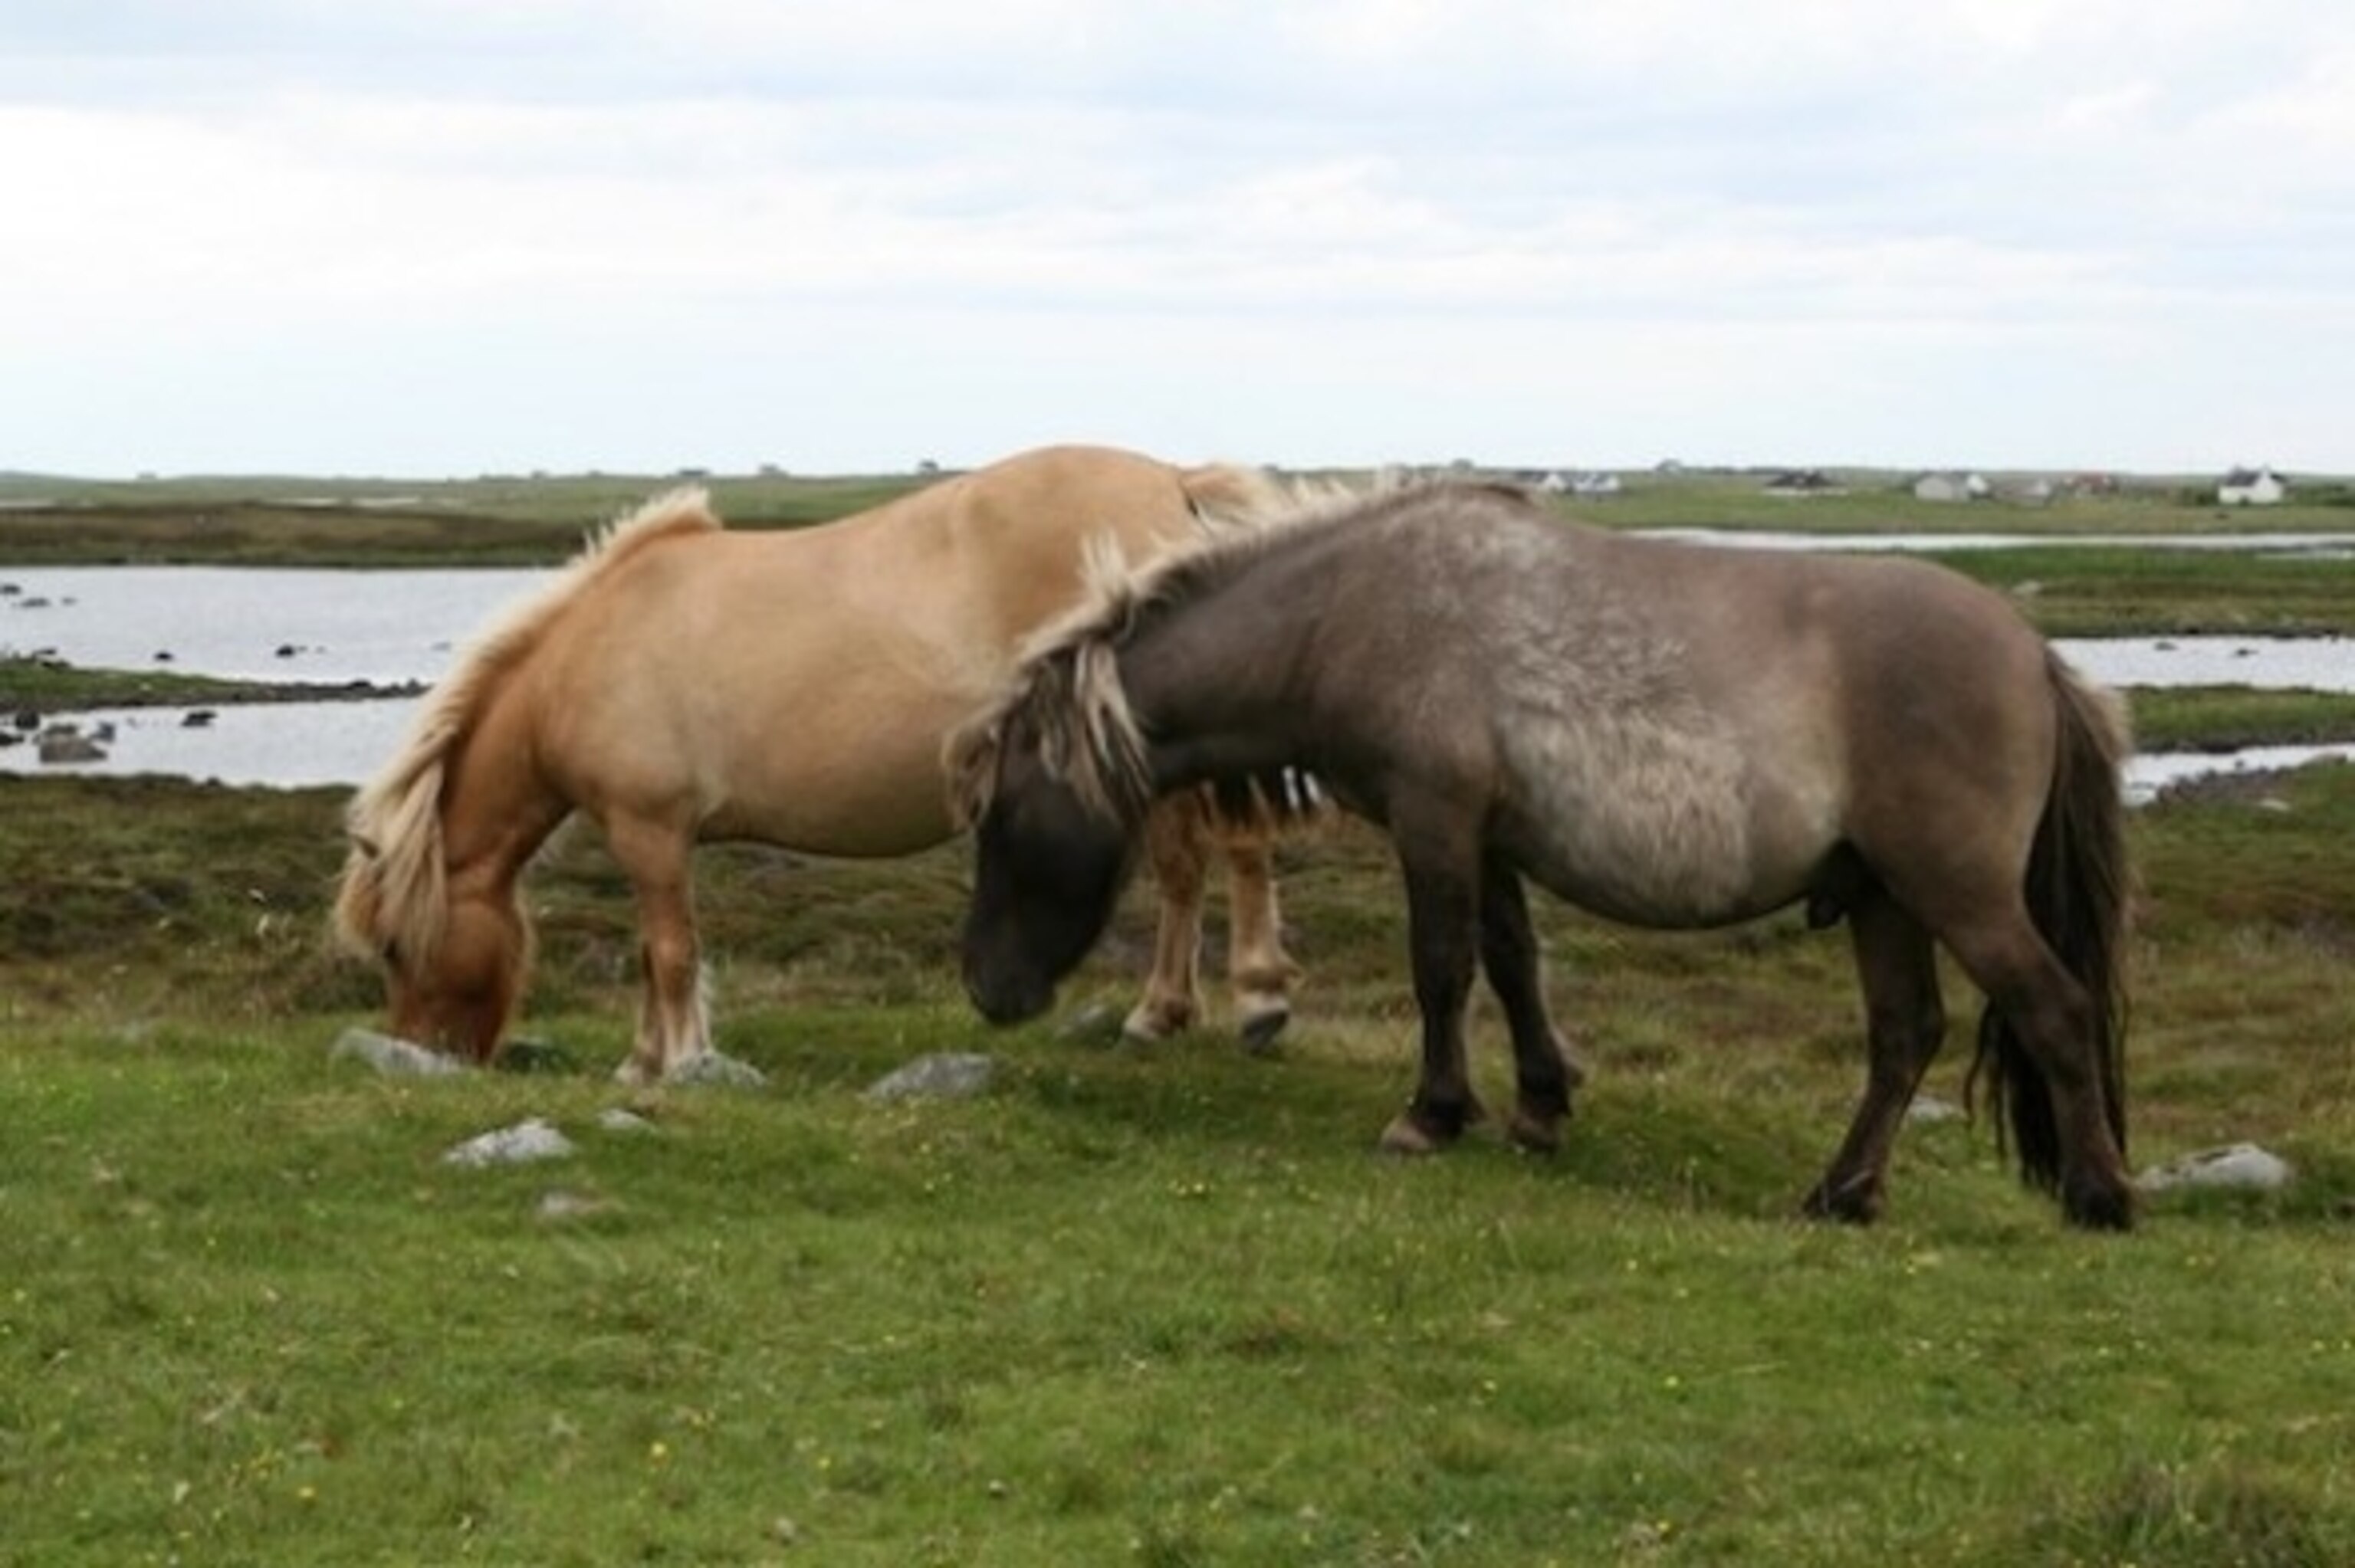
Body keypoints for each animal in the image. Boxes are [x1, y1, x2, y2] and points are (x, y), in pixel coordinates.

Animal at [333, 445, 1306, 1082]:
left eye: (396, 946)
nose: (425, 1057)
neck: (585, 655)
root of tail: (1174, 485)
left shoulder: (650, 830)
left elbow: (671, 952)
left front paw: (682, 1062)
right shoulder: (650, 839)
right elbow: (653, 955)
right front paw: (644, 1063)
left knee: (1234, 848)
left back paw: (1256, 1003)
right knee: (1185, 868)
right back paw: (1162, 1015)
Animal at [950, 480, 2137, 1230]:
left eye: (1004, 818)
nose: (987, 990)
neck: (1353, 609)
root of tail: (2037, 656)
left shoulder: (1434, 820)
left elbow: (1443, 967)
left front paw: (1432, 1114)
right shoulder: (1492, 839)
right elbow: (1514, 963)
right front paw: (1537, 1107)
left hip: (1956, 888)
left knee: (2053, 1007)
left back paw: (2099, 1196)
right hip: (1885, 894)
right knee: (1904, 1037)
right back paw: (1840, 1194)